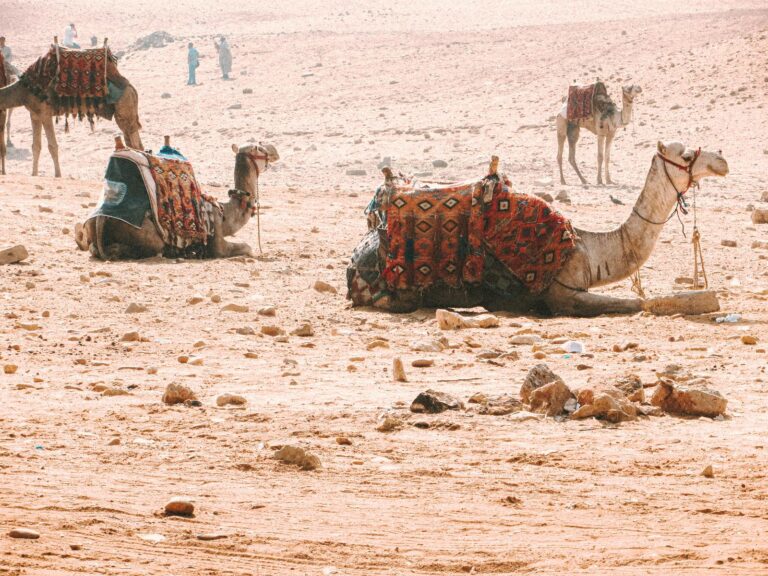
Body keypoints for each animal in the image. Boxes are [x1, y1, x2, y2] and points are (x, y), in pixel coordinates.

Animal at [0, 47, 143, 178]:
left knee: (135, 142)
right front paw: (34, 174)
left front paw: (58, 175)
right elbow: (36, 146)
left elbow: (52, 146)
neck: (25, 89)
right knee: (132, 142)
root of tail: (131, 88)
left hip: (125, 108)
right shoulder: (34, 114)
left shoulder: (45, 113)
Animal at [75, 142, 279, 260]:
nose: (275, 152)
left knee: (93, 246)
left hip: (92, 225)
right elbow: (246, 247)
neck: (224, 212)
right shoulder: (216, 241)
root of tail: (101, 218)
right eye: (260, 148)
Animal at [347, 141, 728, 317]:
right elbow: (639, 303)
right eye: (686, 154)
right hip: (396, 294)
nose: (722, 160)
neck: (587, 248)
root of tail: (354, 260)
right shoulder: (563, 294)